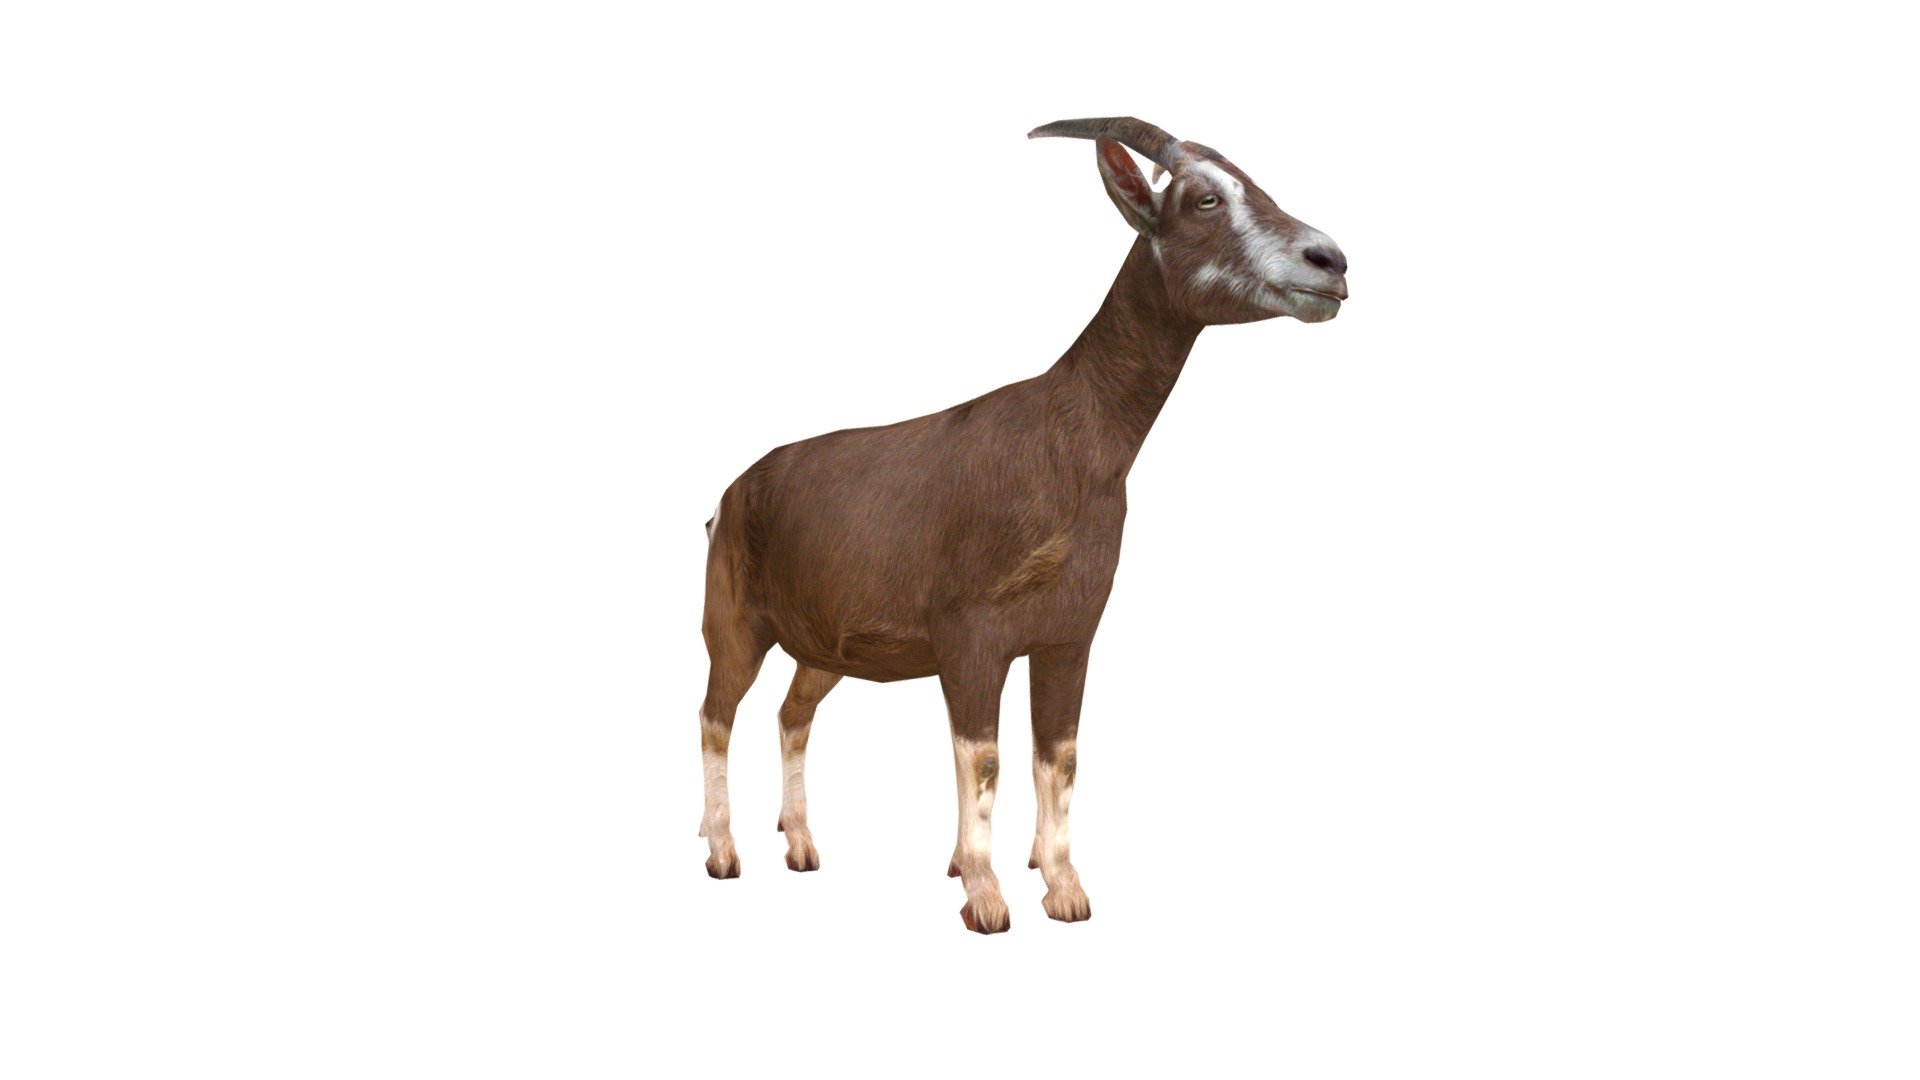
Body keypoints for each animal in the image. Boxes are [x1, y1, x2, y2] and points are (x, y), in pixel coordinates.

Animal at [697, 116, 1348, 933]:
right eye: (1203, 199)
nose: (1331, 262)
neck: (1073, 443)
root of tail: (726, 498)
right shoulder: (969, 633)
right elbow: (984, 759)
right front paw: (985, 896)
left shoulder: (1068, 632)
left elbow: (1059, 757)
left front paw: (1064, 890)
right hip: (731, 620)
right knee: (715, 714)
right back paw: (723, 853)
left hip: (821, 642)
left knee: (792, 715)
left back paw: (803, 845)